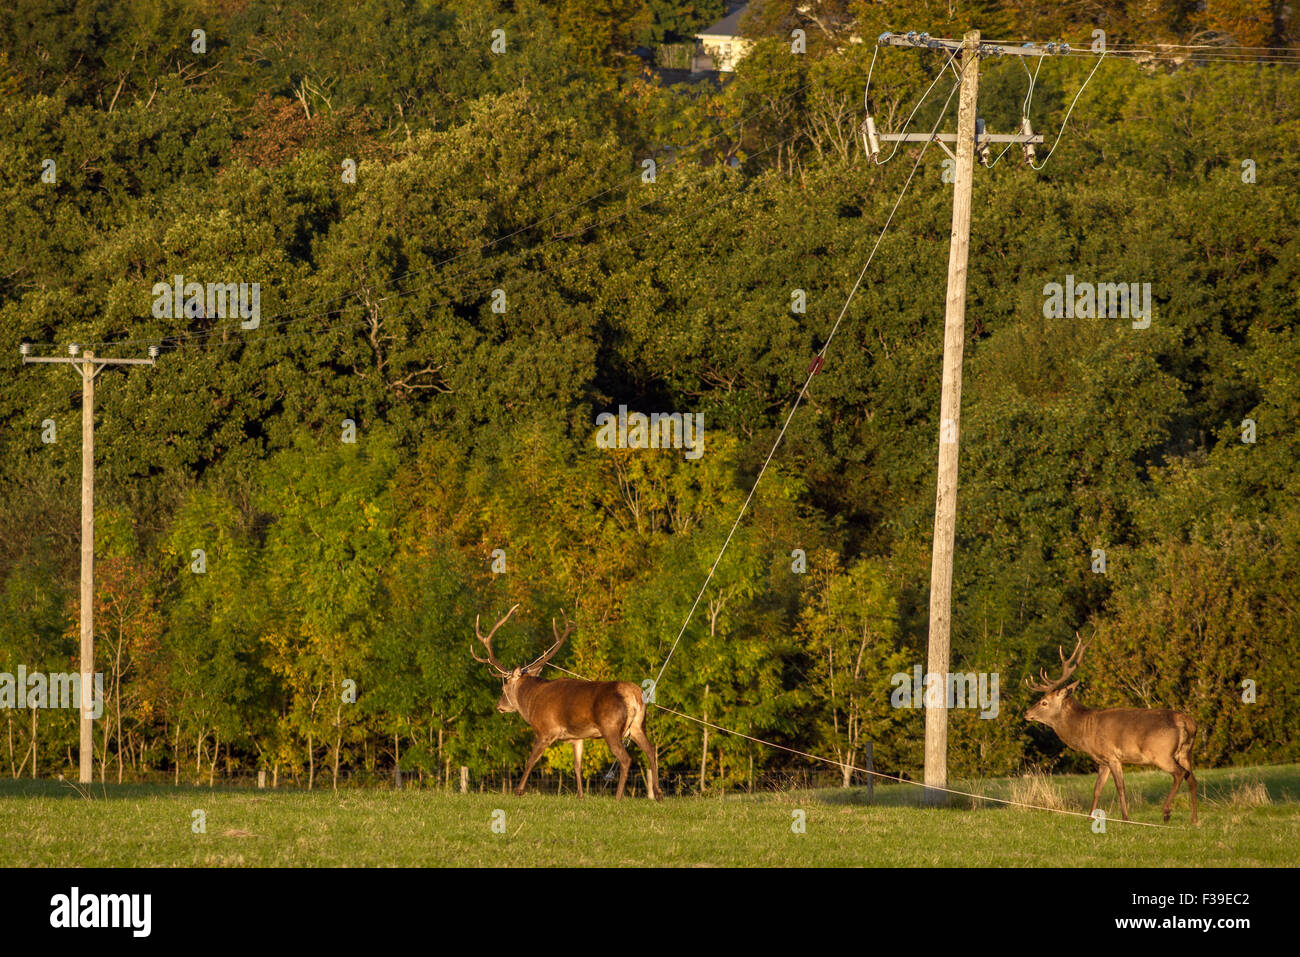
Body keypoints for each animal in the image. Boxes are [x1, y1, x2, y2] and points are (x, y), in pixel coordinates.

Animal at [472, 604, 661, 801]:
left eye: (504, 687)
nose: (499, 706)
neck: (531, 702)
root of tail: (634, 695)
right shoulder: (577, 737)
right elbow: (577, 766)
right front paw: (580, 795)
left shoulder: (545, 730)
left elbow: (531, 761)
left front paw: (518, 791)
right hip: (637, 725)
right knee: (651, 750)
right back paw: (658, 793)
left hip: (611, 727)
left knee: (625, 758)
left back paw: (618, 797)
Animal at [1023, 634, 1198, 824]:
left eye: (1044, 702)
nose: (1026, 713)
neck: (1085, 730)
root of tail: (1187, 722)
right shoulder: (1102, 761)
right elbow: (1097, 788)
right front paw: (1089, 817)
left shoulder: (1112, 755)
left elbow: (1120, 787)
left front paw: (1125, 818)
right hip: (1185, 752)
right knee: (1192, 778)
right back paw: (1194, 820)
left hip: (1161, 753)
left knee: (1180, 774)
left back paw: (1166, 812)